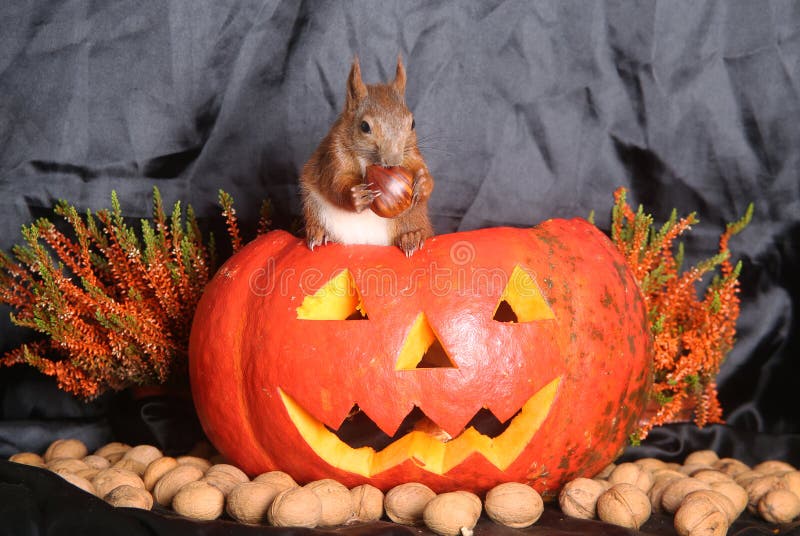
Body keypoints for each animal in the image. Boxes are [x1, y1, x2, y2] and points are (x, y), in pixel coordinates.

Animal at [300, 55, 434, 256]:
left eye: (413, 123)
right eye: (364, 126)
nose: (393, 161)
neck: (369, 162)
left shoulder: (411, 152)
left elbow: (420, 168)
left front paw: (423, 182)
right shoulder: (334, 155)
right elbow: (336, 182)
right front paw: (356, 196)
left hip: (411, 216)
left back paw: (411, 236)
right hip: (314, 207)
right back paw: (319, 233)